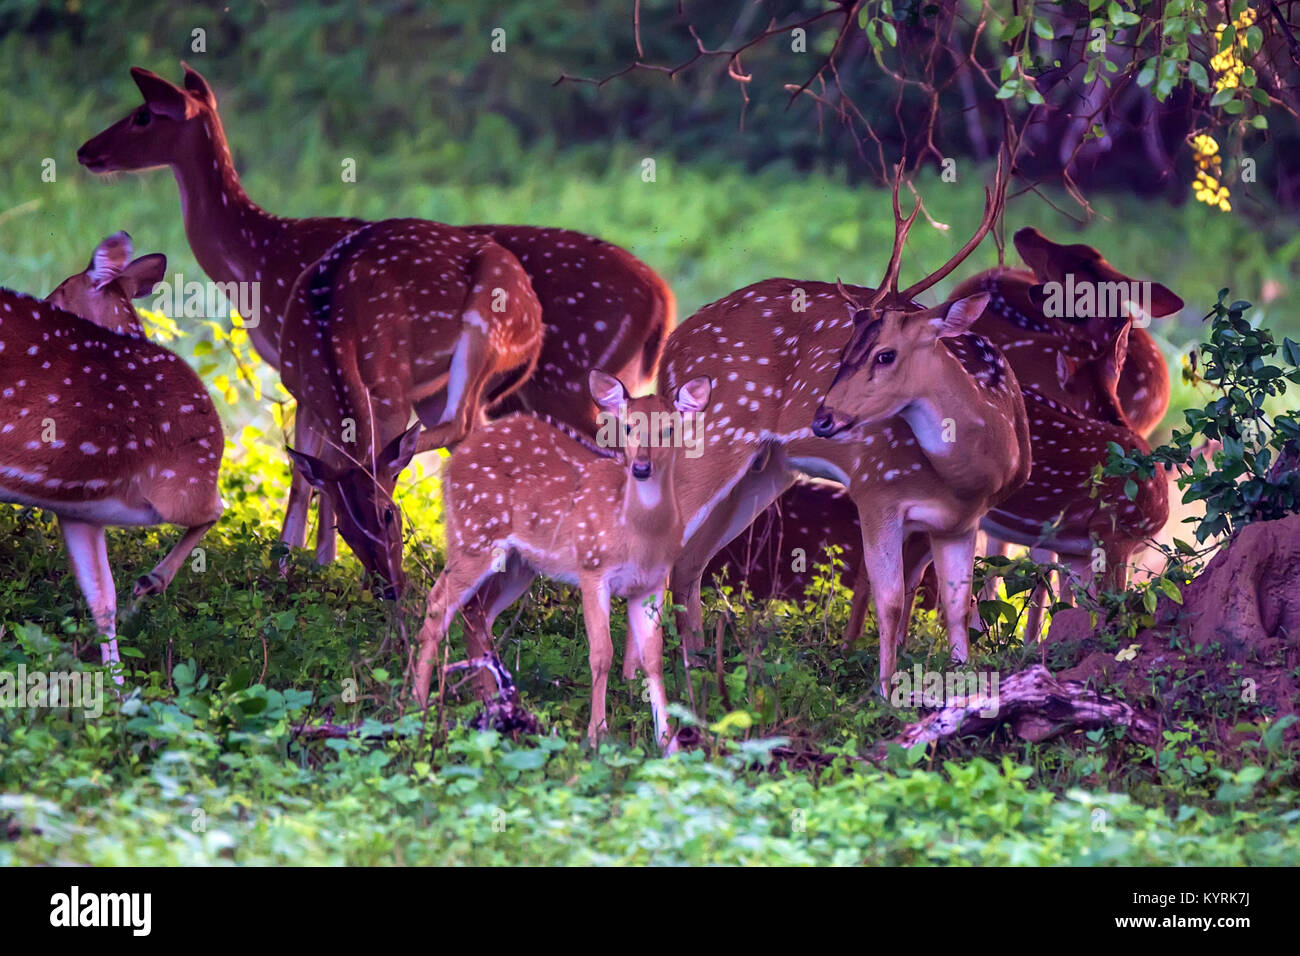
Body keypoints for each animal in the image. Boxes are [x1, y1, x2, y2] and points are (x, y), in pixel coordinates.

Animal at [0, 251, 224, 679]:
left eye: (61, 291)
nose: (44, 299)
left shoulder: (81, 506)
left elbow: (102, 596)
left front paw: (116, 684)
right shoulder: (182, 476)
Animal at [280, 218, 544, 598]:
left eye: (389, 512)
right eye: (343, 529)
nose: (390, 588)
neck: (327, 334)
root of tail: (538, 322)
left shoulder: (393, 392)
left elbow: (380, 460)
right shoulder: (301, 394)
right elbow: (301, 484)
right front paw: (284, 570)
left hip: (487, 325)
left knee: (460, 422)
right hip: (438, 392)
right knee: (481, 437)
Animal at [411, 370, 712, 748]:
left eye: (669, 430)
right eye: (628, 426)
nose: (641, 468)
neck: (636, 534)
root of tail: (453, 460)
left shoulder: (652, 583)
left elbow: (653, 659)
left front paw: (665, 738)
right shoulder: (592, 567)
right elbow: (602, 653)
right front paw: (597, 734)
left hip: (518, 565)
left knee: (476, 613)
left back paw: (492, 707)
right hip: (472, 535)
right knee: (438, 604)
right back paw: (418, 707)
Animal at [658, 155, 1032, 692]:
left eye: (884, 353)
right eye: (841, 352)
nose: (822, 417)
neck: (979, 468)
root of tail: (670, 347)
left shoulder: (962, 523)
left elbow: (958, 610)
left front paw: (961, 686)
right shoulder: (877, 490)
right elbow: (890, 602)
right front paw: (885, 691)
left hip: (765, 468)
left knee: (687, 564)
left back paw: (700, 675)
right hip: (712, 434)